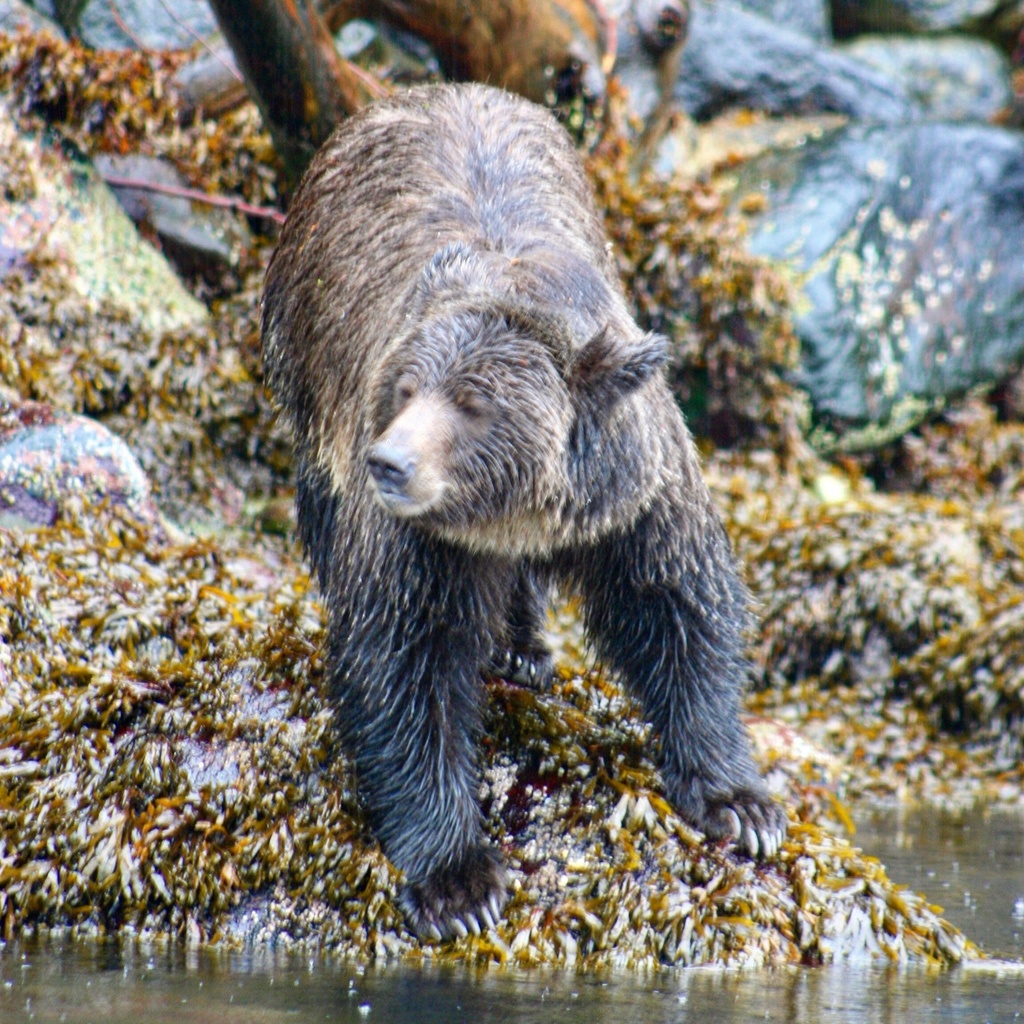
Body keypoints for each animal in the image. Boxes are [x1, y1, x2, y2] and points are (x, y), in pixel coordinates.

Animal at [261, 82, 787, 941]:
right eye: (407, 388)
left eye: (473, 404)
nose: (391, 462)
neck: (516, 508)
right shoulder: (418, 540)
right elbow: (404, 664)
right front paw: (457, 881)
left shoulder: (635, 495)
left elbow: (679, 610)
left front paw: (740, 804)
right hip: (307, 357)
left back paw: (521, 648)